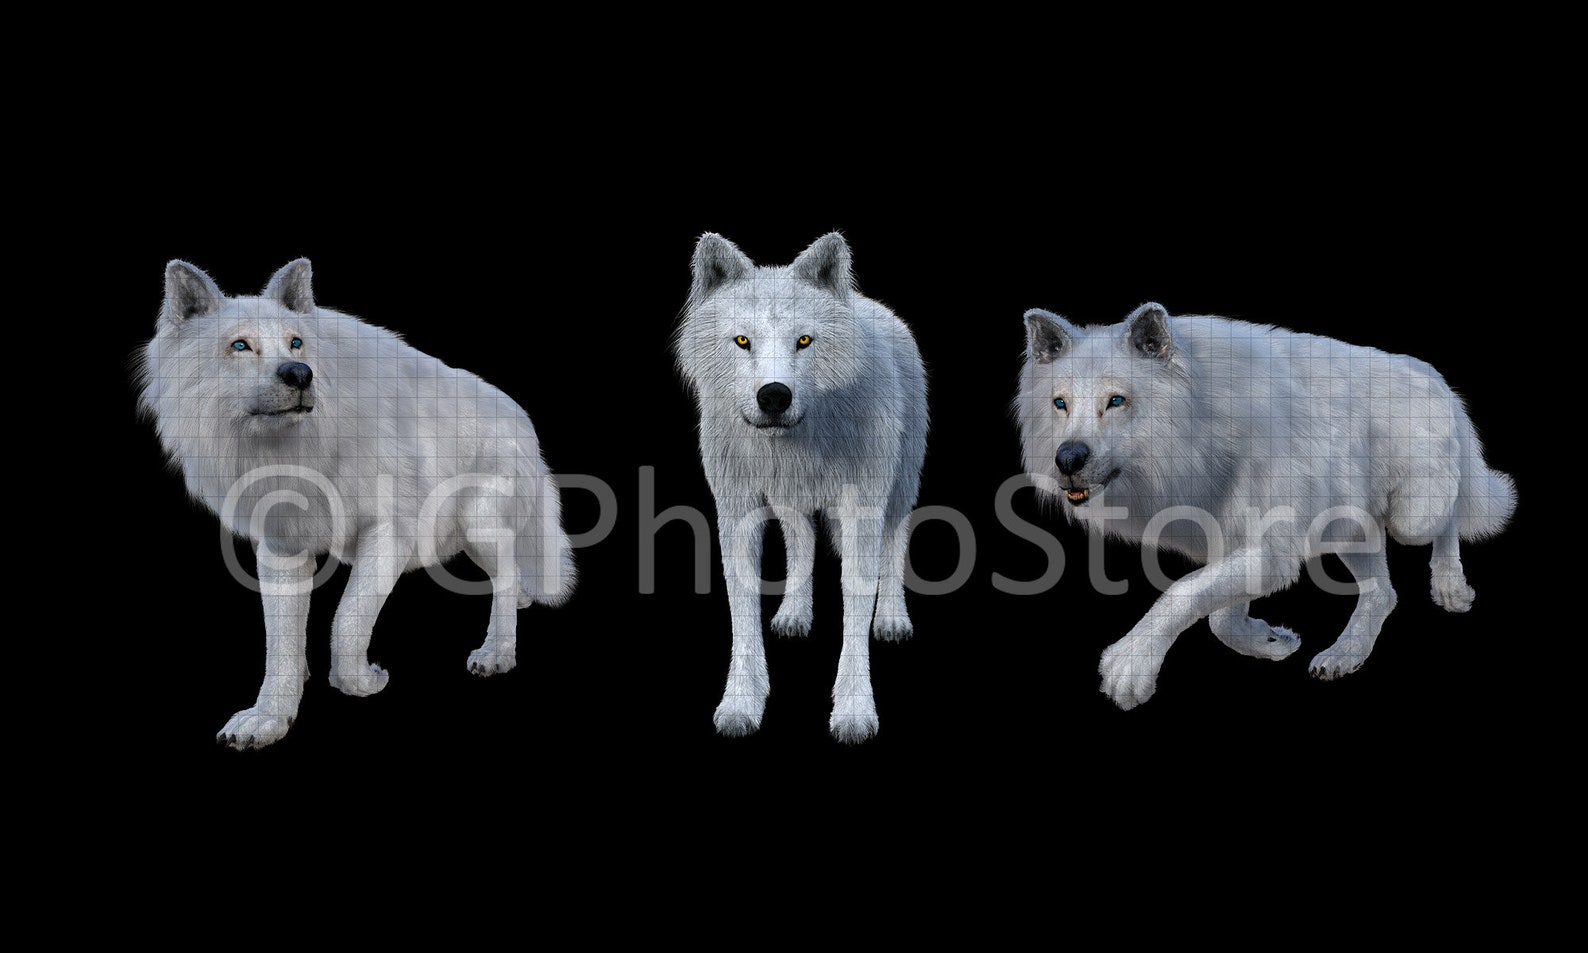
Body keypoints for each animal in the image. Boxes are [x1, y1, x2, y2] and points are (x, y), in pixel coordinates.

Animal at [138, 259, 574, 748]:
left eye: (296, 342)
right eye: (240, 345)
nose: (299, 374)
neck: (296, 454)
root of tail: (524, 419)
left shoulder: (391, 534)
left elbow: (346, 620)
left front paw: (362, 680)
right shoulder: (281, 549)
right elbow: (281, 645)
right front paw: (269, 718)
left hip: (478, 525)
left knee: (506, 576)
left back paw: (496, 652)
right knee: (511, 574)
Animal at [675, 233, 928, 743]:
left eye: (804, 340)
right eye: (743, 340)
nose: (774, 396)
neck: (793, 444)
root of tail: (870, 304)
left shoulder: (862, 509)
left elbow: (856, 604)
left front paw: (854, 711)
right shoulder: (736, 510)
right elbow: (743, 608)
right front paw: (741, 703)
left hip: (899, 487)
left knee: (895, 544)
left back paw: (892, 618)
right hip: (791, 502)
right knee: (801, 541)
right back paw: (794, 613)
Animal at [1017, 303, 1515, 709]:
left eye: (1116, 401)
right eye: (1060, 403)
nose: (1068, 459)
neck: (1208, 426)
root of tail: (1438, 379)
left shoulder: (1270, 551)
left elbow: (1182, 593)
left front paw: (1130, 666)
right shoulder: (1236, 544)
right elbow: (1219, 616)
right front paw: (1273, 642)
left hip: (1412, 517)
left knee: (1449, 517)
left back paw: (1450, 588)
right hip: (1348, 531)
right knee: (1382, 594)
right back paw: (1343, 656)